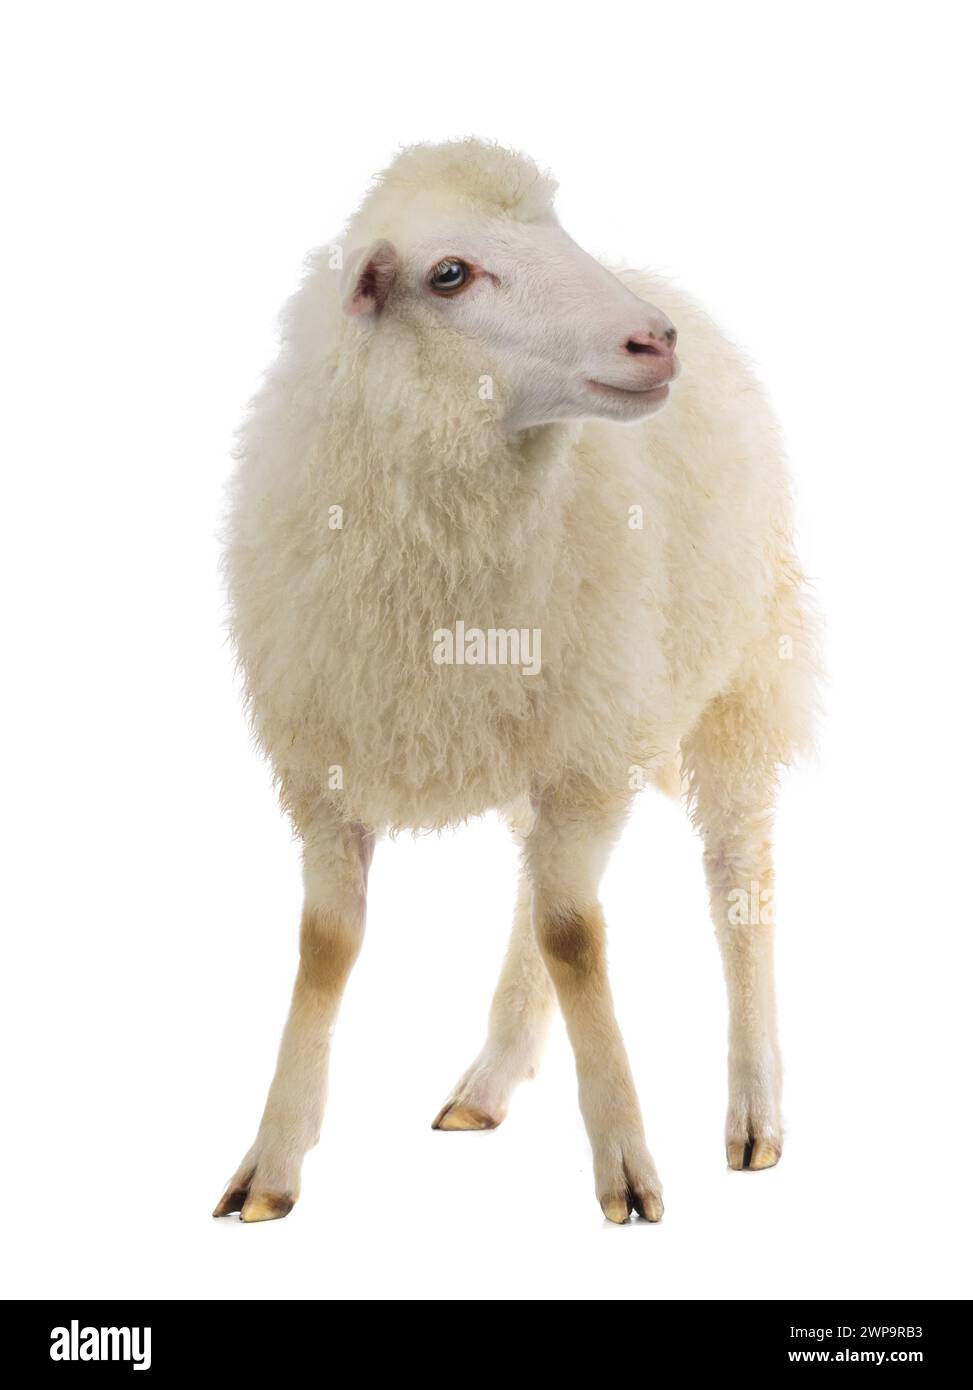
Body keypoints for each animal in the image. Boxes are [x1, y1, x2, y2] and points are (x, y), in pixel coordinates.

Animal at [214, 139, 820, 1224]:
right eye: (449, 273)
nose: (654, 340)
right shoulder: (328, 761)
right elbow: (327, 944)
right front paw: (271, 1163)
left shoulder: (585, 748)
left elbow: (576, 936)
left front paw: (624, 1163)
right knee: (537, 895)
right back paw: (489, 1080)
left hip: (737, 674)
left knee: (734, 877)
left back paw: (753, 1110)